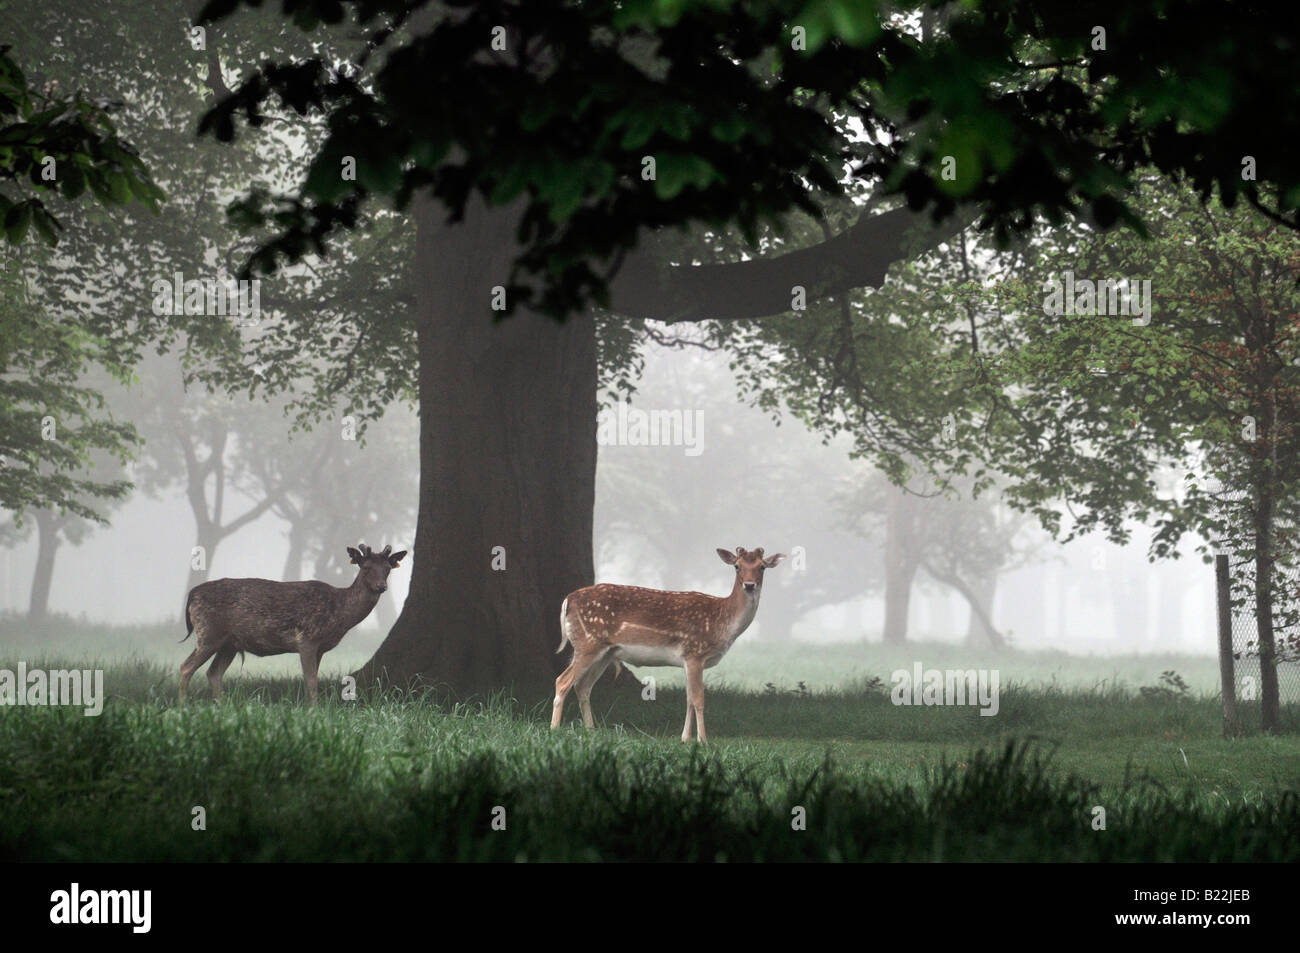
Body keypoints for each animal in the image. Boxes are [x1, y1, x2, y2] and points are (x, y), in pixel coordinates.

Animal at [179, 543, 406, 704]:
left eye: (387, 568)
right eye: (366, 567)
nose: (382, 586)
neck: (339, 615)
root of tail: (192, 594)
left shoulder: (320, 648)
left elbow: (313, 678)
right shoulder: (307, 639)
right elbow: (311, 680)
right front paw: (314, 711)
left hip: (229, 644)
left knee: (213, 673)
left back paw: (221, 706)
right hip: (208, 632)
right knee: (185, 667)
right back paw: (184, 706)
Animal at [551, 545, 786, 742]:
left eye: (762, 566)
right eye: (737, 566)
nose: (749, 585)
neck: (722, 624)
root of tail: (567, 600)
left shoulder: (688, 660)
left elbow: (689, 698)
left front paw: (685, 738)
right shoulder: (694, 652)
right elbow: (698, 698)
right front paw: (703, 740)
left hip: (606, 652)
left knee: (583, 686)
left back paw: (591, 730)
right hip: (588, 643)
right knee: (562, 681)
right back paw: (554, 729)